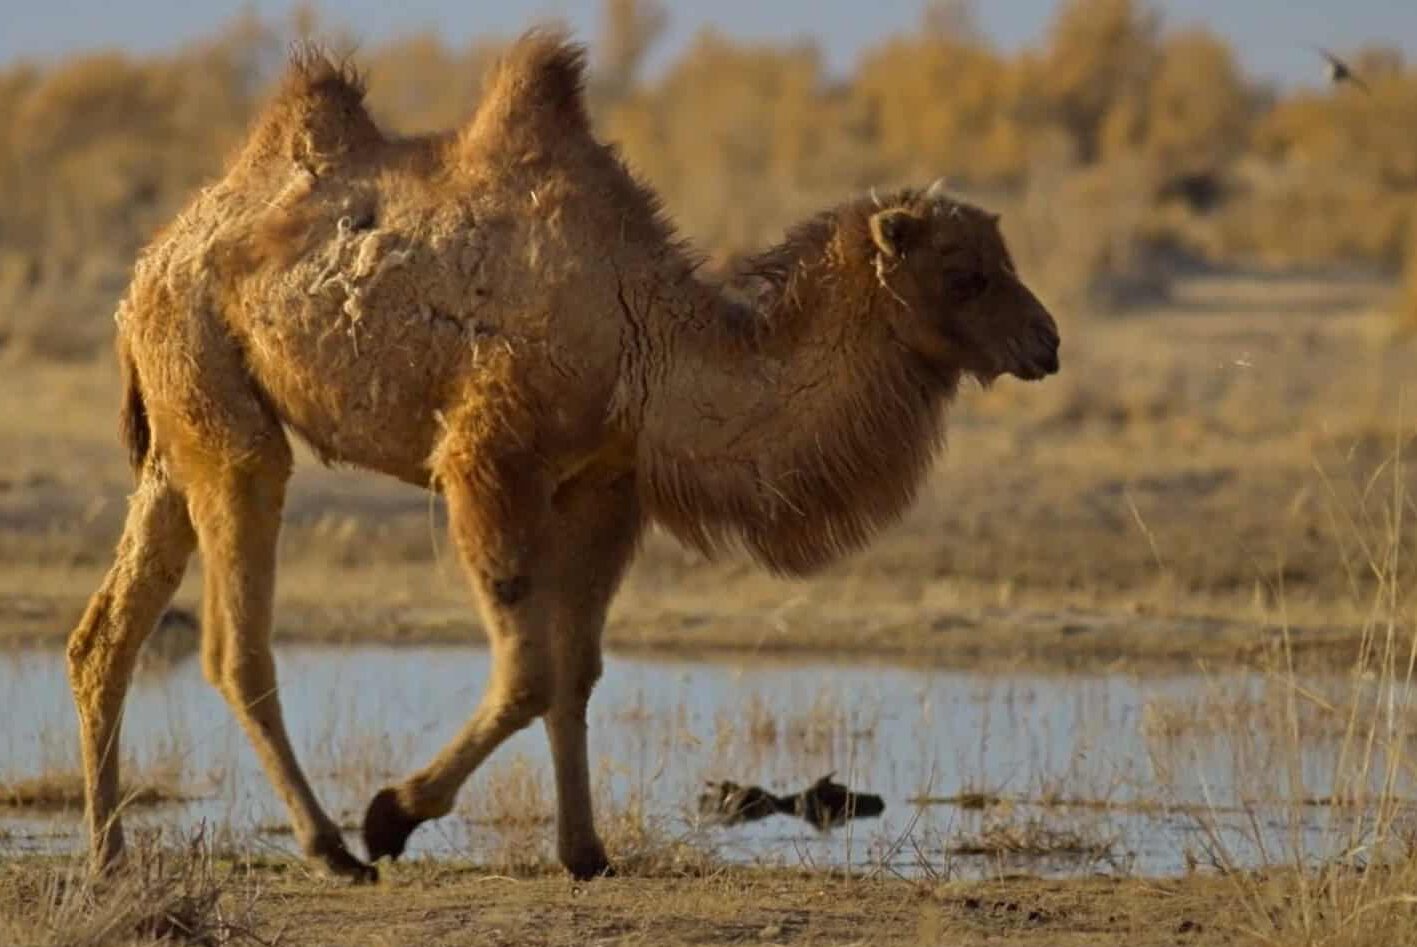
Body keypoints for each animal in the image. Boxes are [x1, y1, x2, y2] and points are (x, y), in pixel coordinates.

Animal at [65, 31, 1060, 883]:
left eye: (1001, 255)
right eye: (965, 273)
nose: (1045, 341)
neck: (647, 342)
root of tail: (155, 258)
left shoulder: (602, 486)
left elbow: (576, 670)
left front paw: (584, 850)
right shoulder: (486, 460)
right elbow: (530, 669)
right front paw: (392, 814)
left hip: (175, 426)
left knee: (104, 633)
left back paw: (110, 853)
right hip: (222, 404)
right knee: (234, 639)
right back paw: (330, 848)